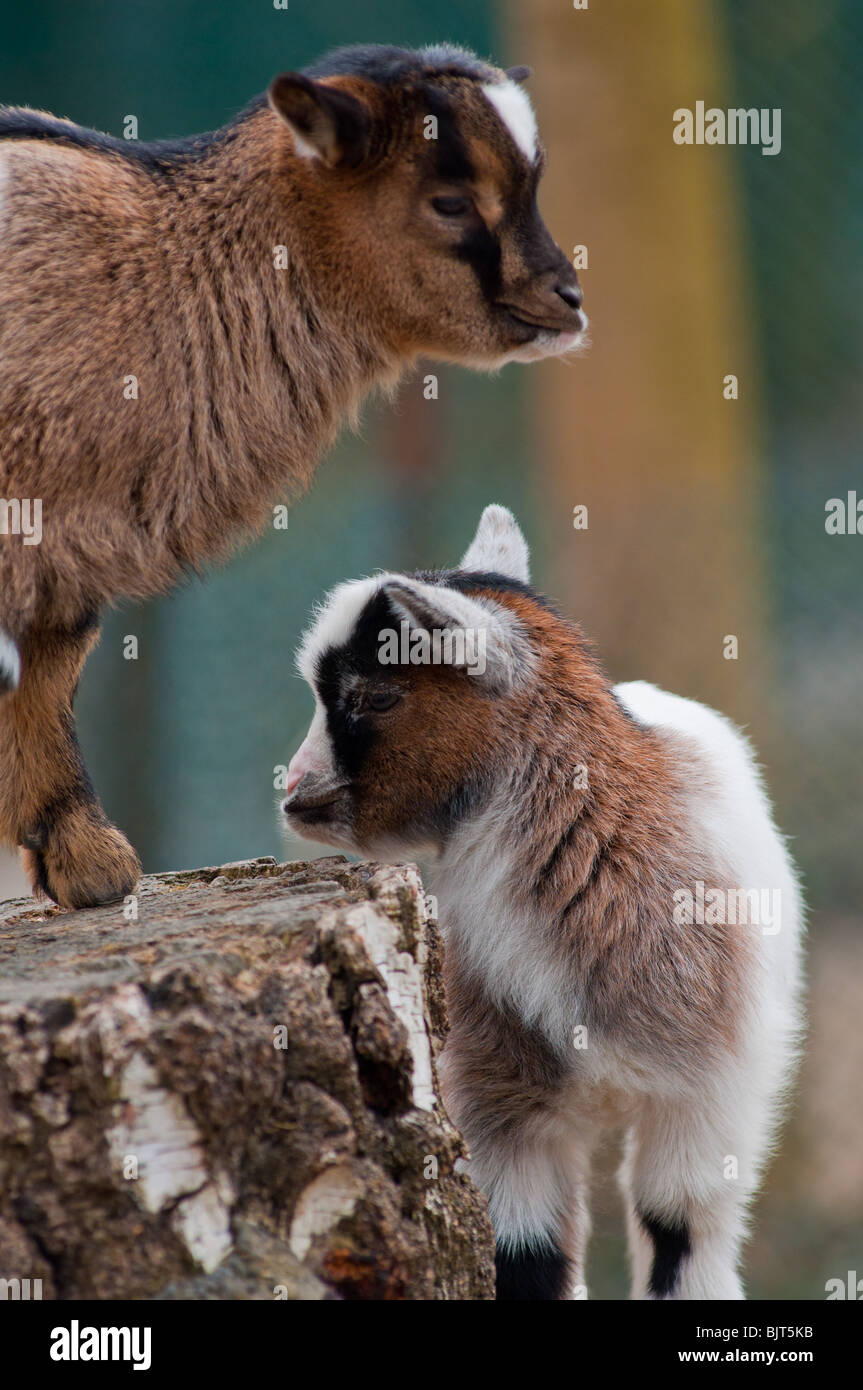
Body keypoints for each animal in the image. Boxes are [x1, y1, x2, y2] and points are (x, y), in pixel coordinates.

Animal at [282, 505, 804, 1300]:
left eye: (376, 696)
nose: (293, 789)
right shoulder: (498, 1100)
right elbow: (527, 1256)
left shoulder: (711, 1091)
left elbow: (678, 1231)